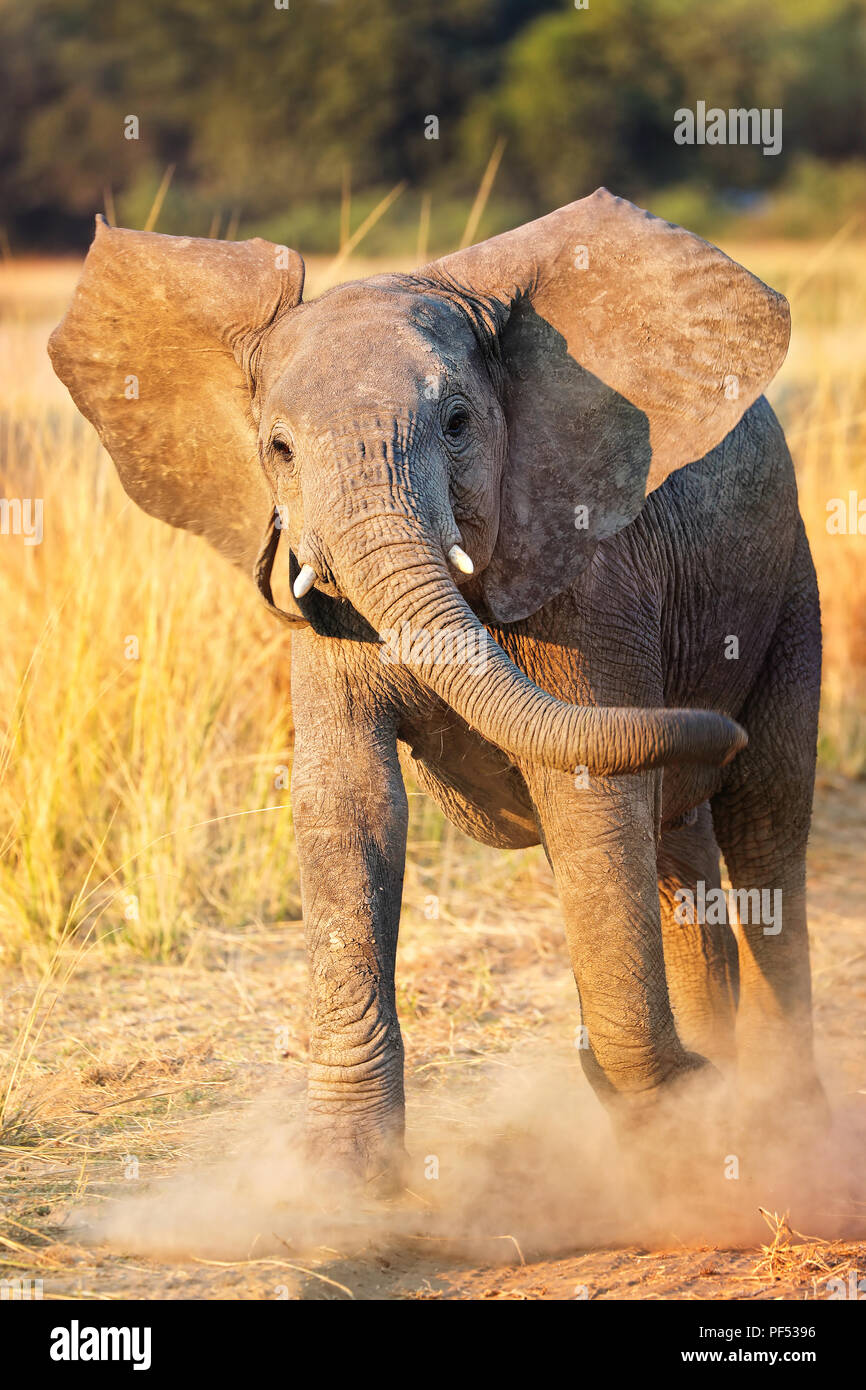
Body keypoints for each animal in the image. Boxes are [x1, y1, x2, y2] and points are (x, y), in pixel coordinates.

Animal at [49, 188, 825, 1185]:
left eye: (458, 423)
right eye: (278, 448)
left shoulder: (592, 579)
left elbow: (587, 797)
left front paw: (672, 1124)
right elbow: (348, 804)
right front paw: (342, 1178)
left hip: (792, 581)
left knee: (765, 821)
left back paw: (777, 1115)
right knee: (676, 843)